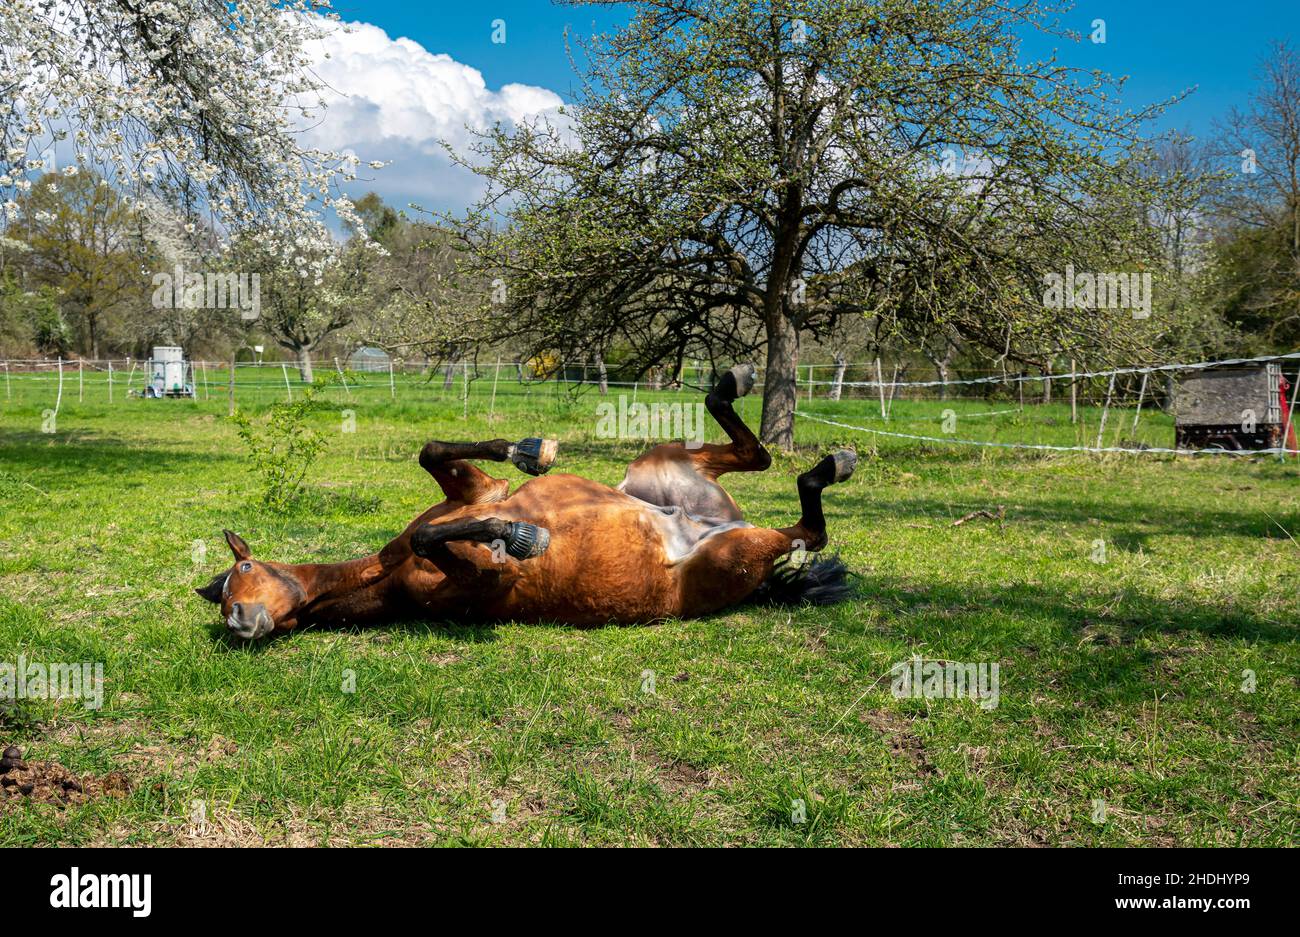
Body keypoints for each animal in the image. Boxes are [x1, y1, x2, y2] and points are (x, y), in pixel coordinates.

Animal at [196, 364, 855, 639]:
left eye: (244, 568)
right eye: (223, 595)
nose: (239, 622)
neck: (389, 574)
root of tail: (705, 525)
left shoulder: (473, 493)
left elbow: (433, 455)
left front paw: (531, 453)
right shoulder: (485, 577)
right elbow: (447, 534)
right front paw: (520, 534)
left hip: (660, 465)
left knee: (764, 463)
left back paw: (744, 393)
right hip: (731, 548)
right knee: (803, 525)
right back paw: (826, 467)